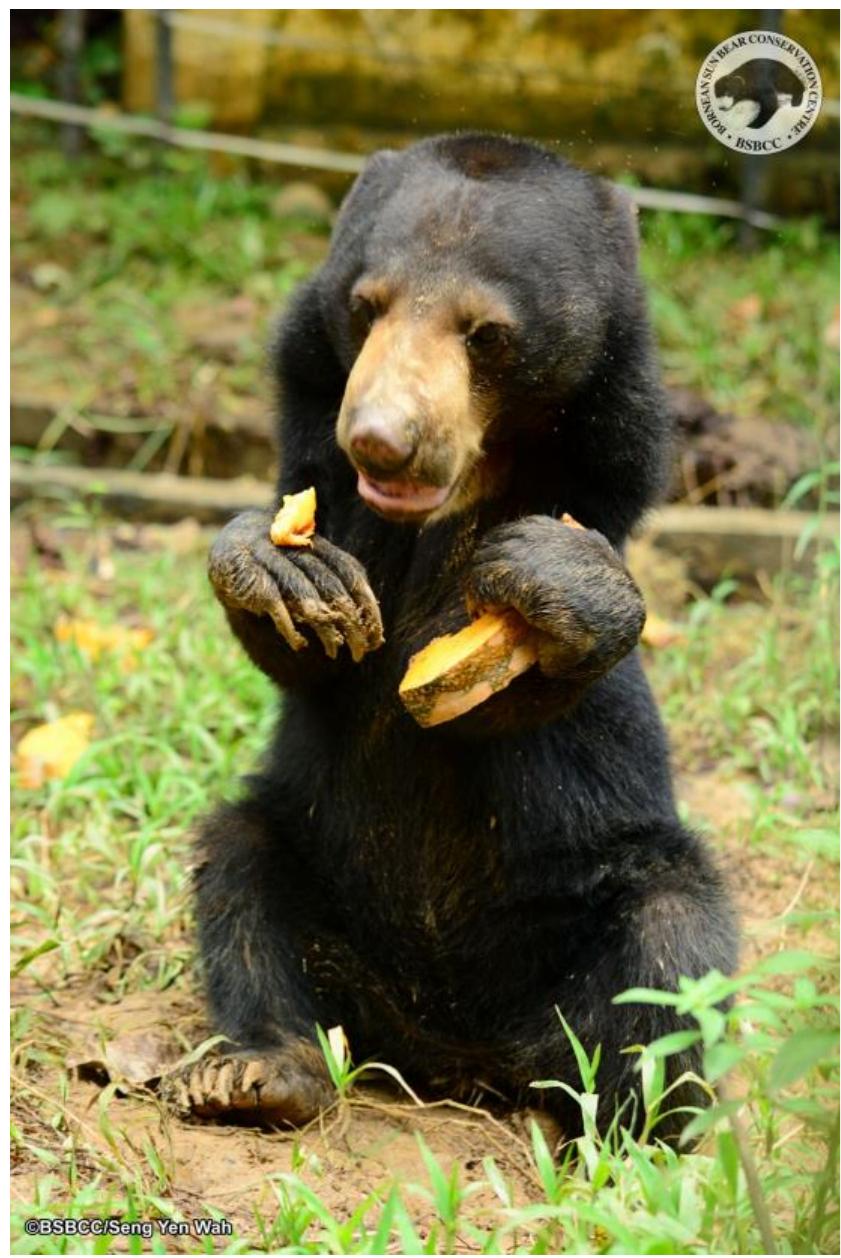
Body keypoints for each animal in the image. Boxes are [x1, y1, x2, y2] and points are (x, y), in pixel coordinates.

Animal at [162, 133, 738, 1144]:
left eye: (485, 333)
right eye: (366, 306)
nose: (380, 440)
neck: (443, 510)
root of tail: (456, 1056)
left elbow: (518, 689)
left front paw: (549, 576)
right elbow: (313, 658)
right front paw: (282, 569)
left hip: (589, 911)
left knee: (669, 938)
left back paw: (633, 1129)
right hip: (320, 889)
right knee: (240, 873)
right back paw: (263, 1074)